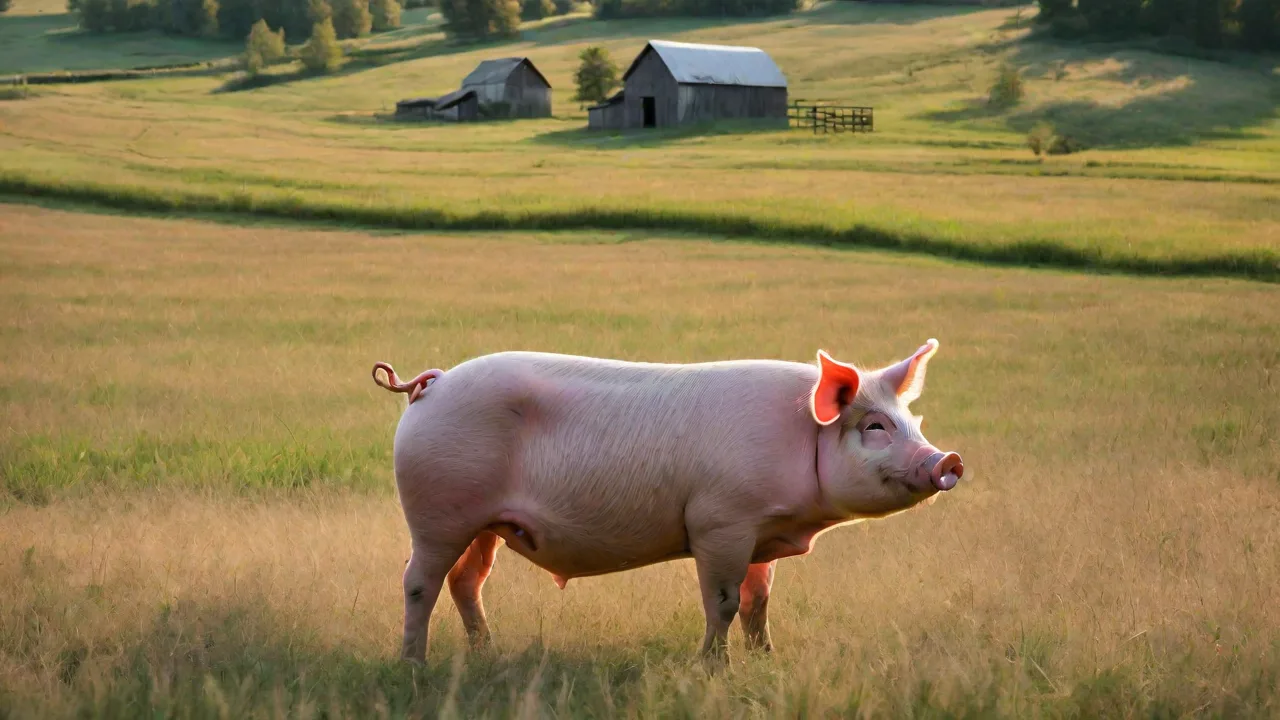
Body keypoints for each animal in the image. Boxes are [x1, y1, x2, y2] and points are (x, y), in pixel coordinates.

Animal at [371, 340, 964, 668]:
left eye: (914, 421)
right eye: (875, 426)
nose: (948, 459)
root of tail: (433, 383)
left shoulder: (762, 533)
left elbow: (759, 602)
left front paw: (767, 658)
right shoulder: (720, 521)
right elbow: (723, 602)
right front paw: (715, 669)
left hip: (485, 524)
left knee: (466, 581)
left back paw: (487, 652)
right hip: (439, 510)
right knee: (418, 581)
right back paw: (414, 665)